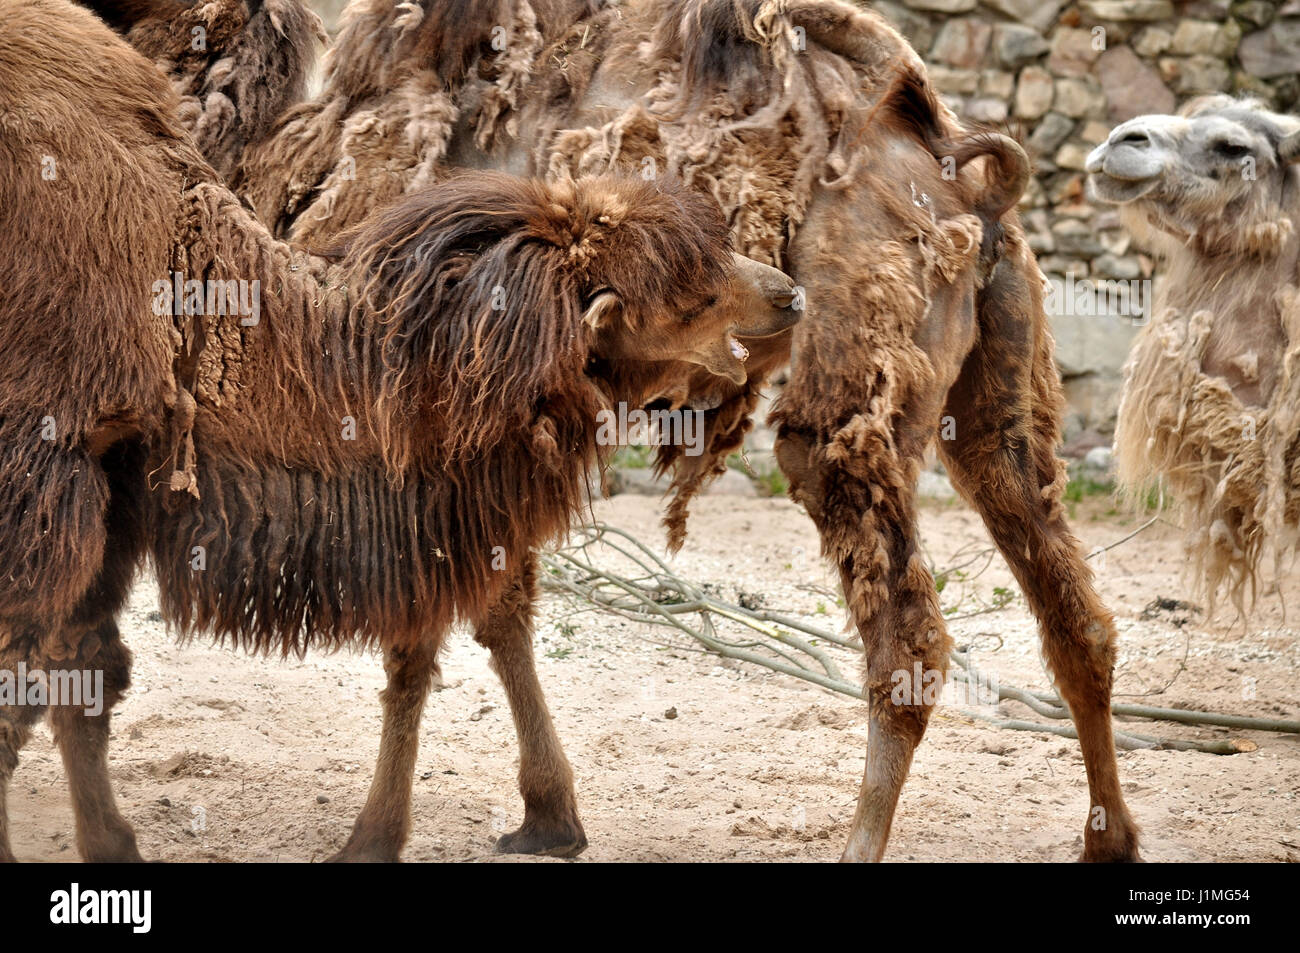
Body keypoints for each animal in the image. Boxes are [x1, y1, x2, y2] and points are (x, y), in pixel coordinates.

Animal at [210, 0, 1142, 863]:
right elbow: (503, 608)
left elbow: (423, 636)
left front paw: (373, 836)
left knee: (908, 636)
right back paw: (1111, 837)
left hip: (850, 385)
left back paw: (863, 840)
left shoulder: (420, 427)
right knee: (1074, 608)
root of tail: (962, 178)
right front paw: (550, 816)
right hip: (999, 380)